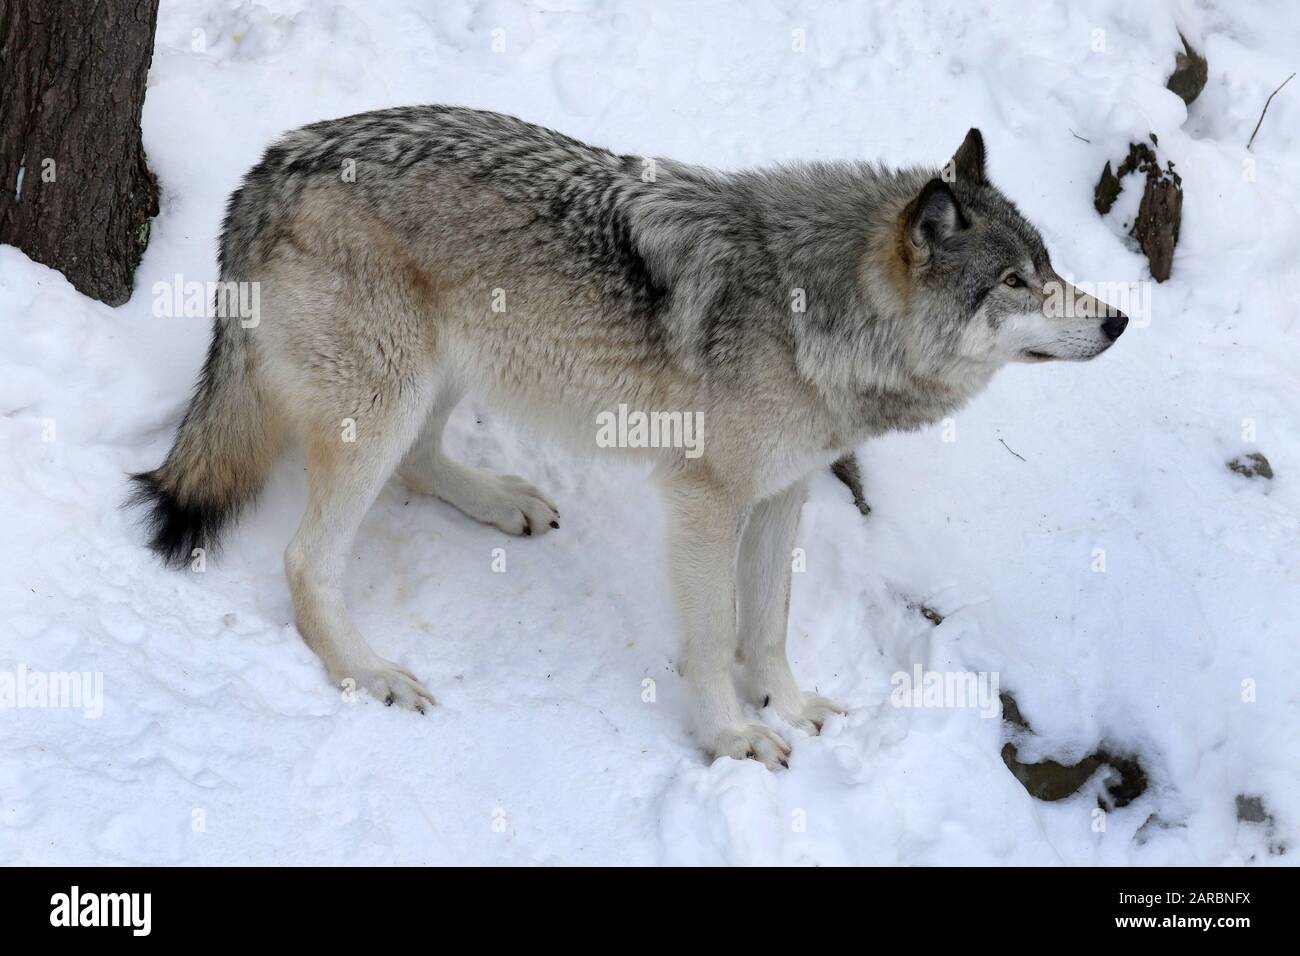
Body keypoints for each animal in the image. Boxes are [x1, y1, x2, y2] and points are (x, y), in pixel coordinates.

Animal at [130, 107, 1126, 768]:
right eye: (1014, 282)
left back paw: (502, 501)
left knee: (418, 466)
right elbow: (716, 637)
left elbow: (769, 627)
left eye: (1049, 266)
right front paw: (732, 737)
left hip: (444, 378)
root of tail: (271, 164)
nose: (1118, 320)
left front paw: (792, 706)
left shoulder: (785, 493)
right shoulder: (707, 502)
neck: (812, 312)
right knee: (307, 560)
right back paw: (370, 672)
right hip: (384, 402)